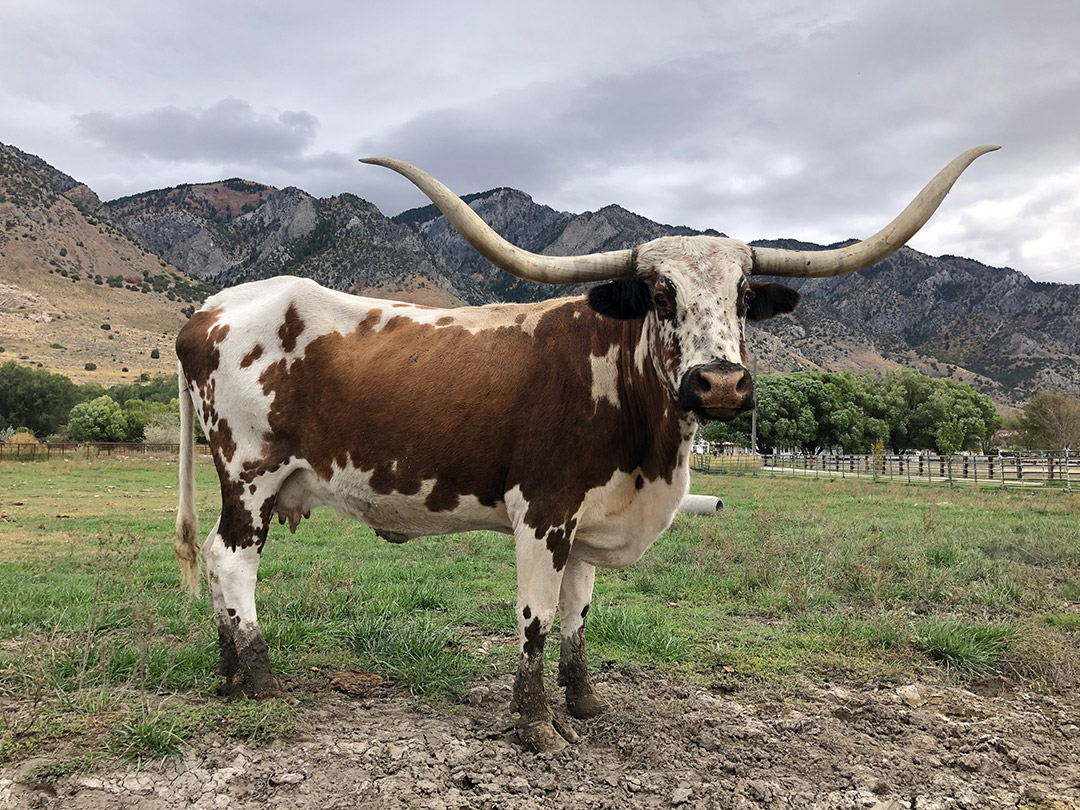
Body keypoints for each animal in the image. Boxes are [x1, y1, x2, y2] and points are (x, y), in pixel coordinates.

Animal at [175, 146, 997, 752]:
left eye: (741, 297)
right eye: (660, 294)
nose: (720, 384)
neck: (647, 448)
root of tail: (211, 309)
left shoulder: (590, 523)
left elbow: (577, 617)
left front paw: (586, 702)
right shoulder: (541, 515)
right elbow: (537, 619)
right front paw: (537, 724)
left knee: (216, 562)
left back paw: (227, 675)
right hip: (250, 473)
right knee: (231, 561)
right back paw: (261, 677)